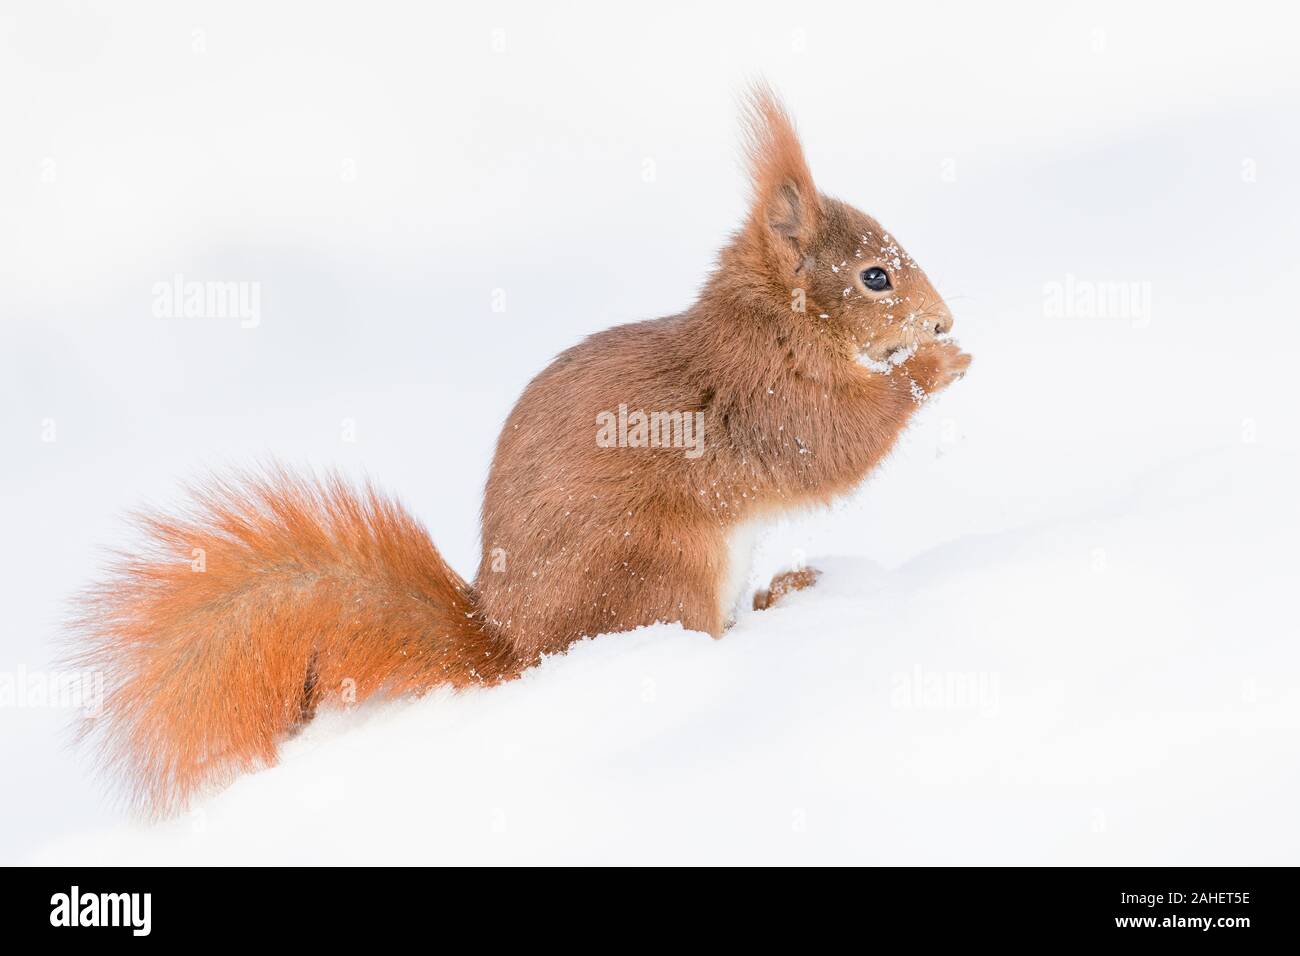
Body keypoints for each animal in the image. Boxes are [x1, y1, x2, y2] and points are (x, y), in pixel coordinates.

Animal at [69, 85, 971, 814]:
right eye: (875, 277)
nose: (944, 319)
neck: (772, 322)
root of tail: (514, 651)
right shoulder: (767, 401)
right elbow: (836, 447)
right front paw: (935, 367)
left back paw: (783, 589)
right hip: (662, 565)